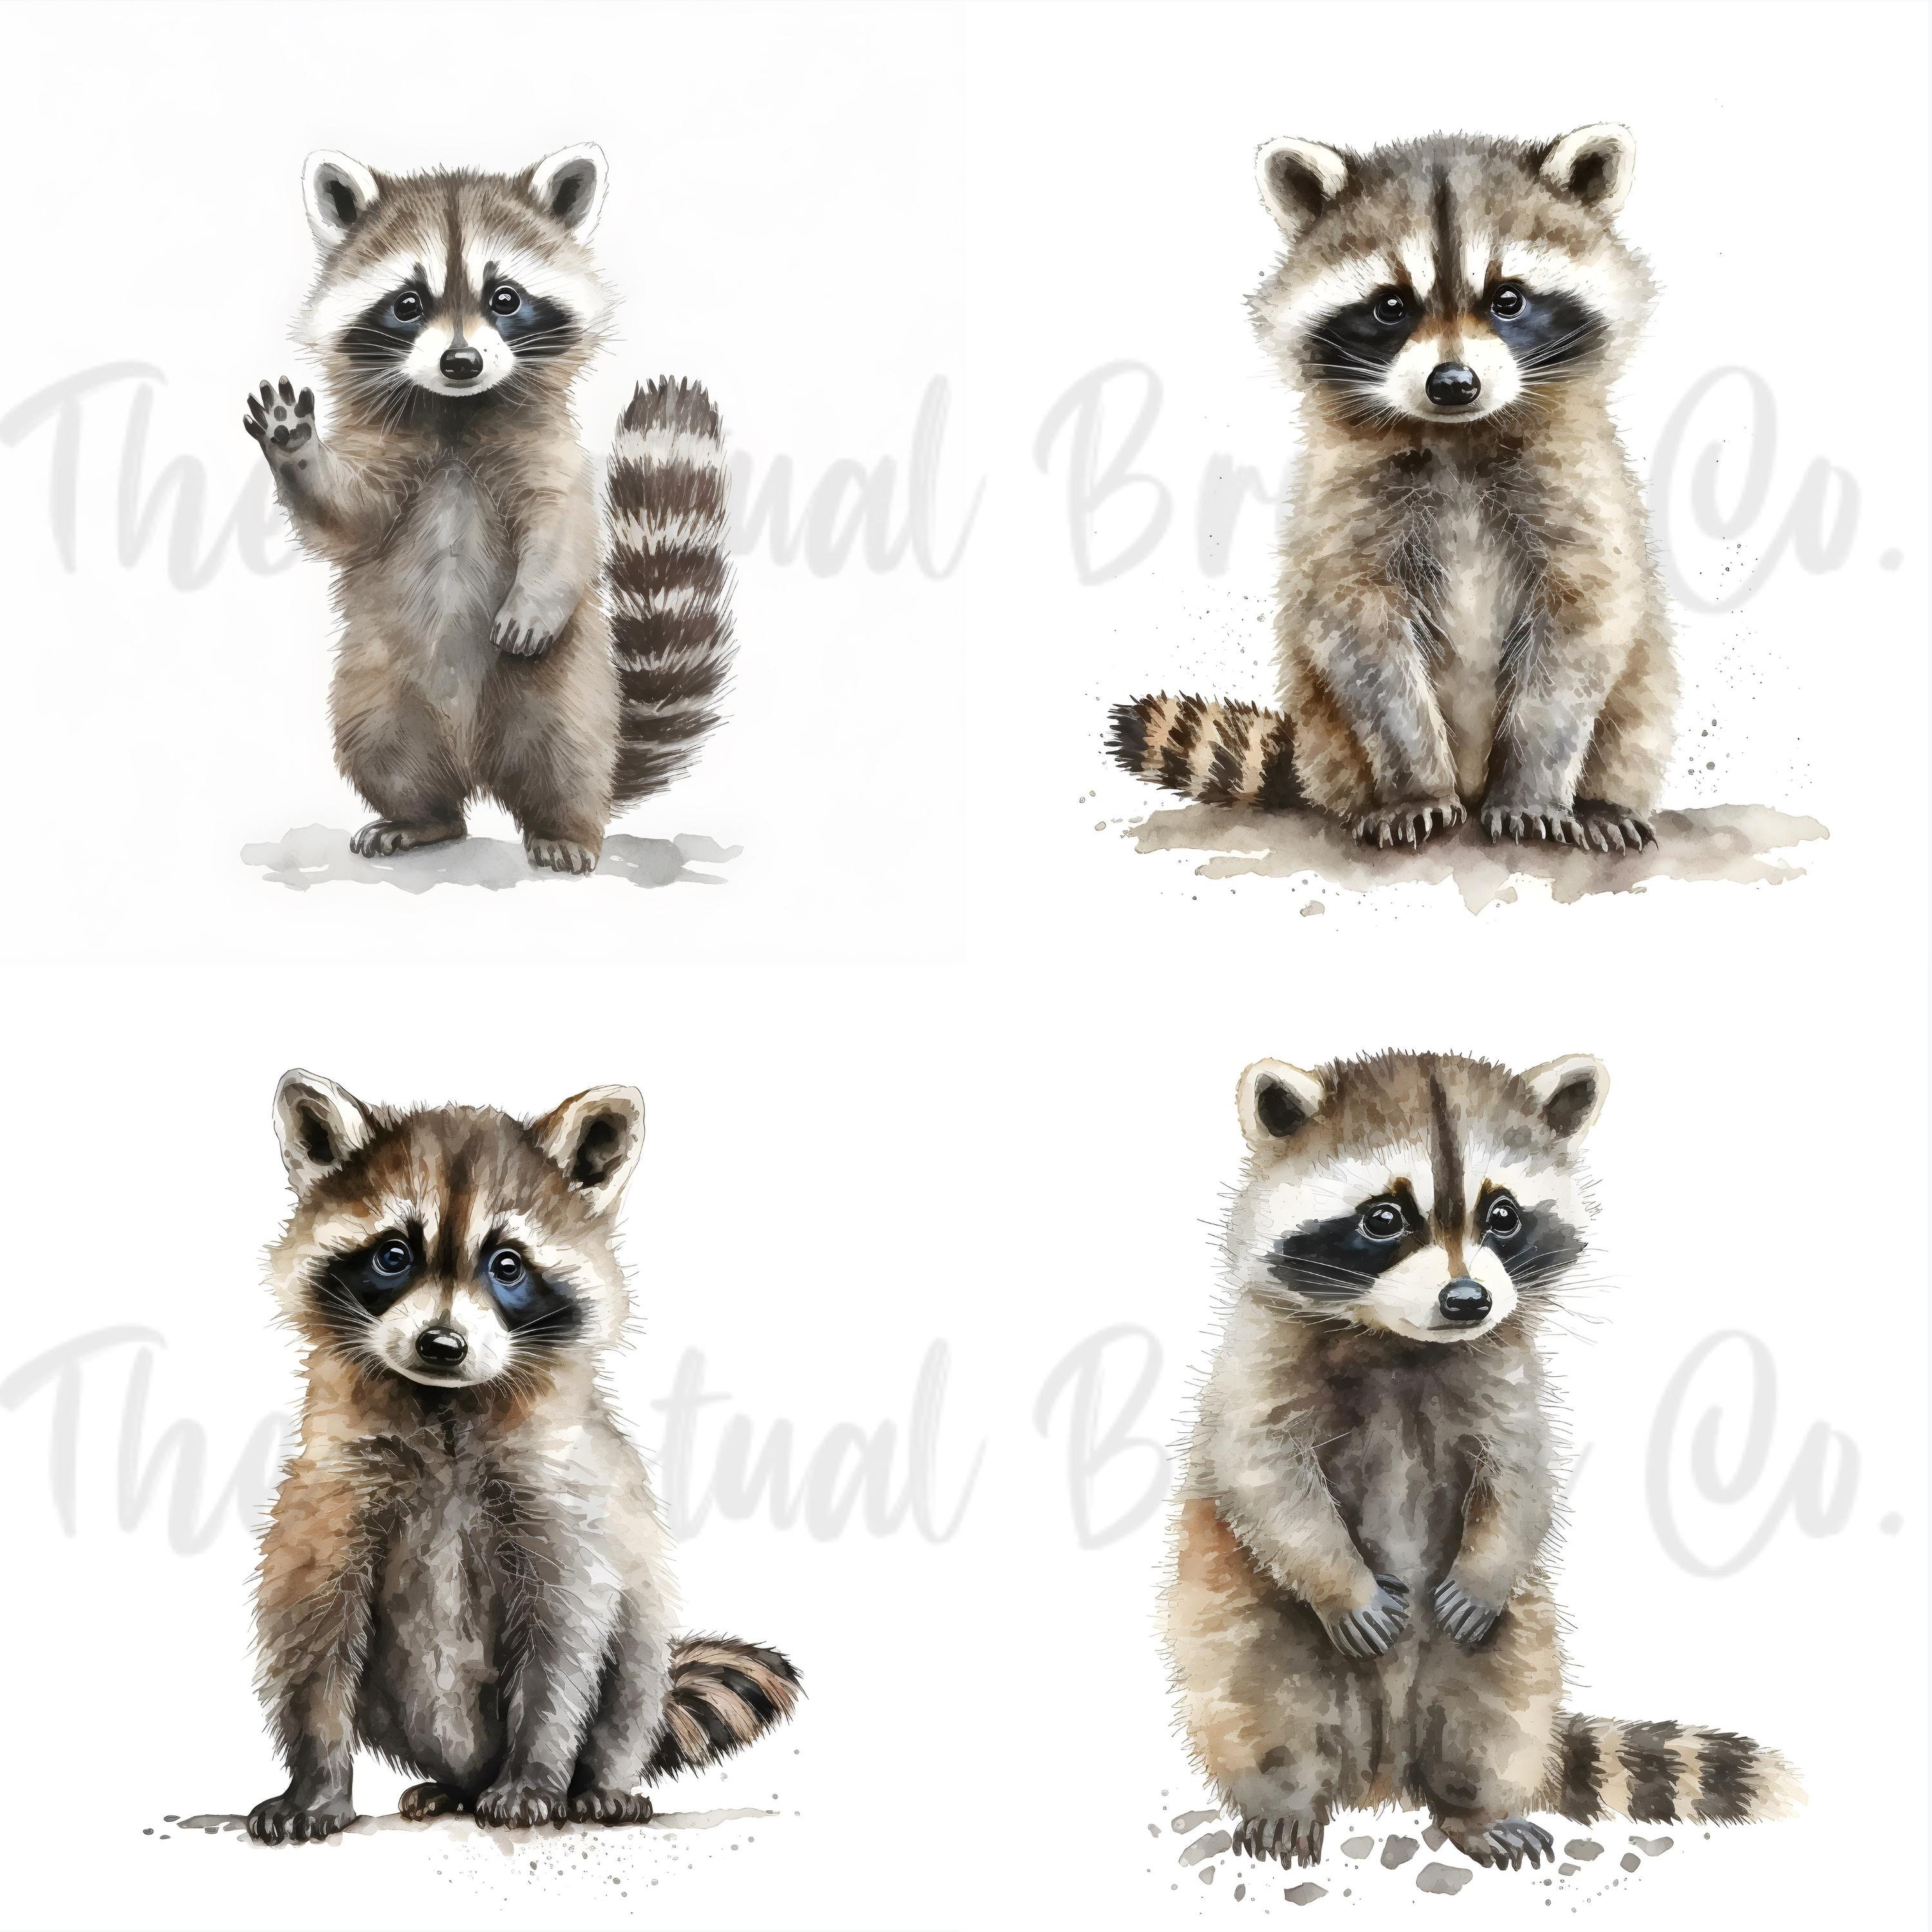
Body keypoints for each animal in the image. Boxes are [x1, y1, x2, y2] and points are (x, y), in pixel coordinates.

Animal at [245, 146, 733, 874]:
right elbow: (348, 515)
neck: (456, 411)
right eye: (408, 304)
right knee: (382, 745)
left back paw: (568, 827)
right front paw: (298, 451)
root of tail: (474, 763)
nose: (461, 360)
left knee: (566, 753)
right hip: (377, 683)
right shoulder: (385, 456)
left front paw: (534, 599)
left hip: (568, 685)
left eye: (505, 299)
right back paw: (423, 818)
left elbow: (565, 523)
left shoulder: (552, 451)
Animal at [247, 1071, 799, 1844]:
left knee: (631, 1675)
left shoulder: (567, 1500)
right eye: (393, 1255)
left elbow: (564, 1646)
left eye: (506, 1264)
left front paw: (536, 1774)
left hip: (641, 1647)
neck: (446, 1406)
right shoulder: (330, 1496)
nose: (441, 1345)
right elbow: (314, 1636)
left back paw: (596, 1783)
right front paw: (316, 1784)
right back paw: (451, 1788)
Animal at [1111, 128, 1677, 853]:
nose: (1454, 383)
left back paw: (1601, 801)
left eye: (1508, 299)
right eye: (1390, 306)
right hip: (1325, 735)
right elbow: (1365, 649)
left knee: (1635, 714)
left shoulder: (1577, 491)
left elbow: (1581, 631)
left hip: (1647, 688)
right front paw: (1416, 788)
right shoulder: (1342, 509)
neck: (1456, 435)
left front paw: (1533, 790)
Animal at [1165, 1050, 1799, 1871]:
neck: (1402, 1344)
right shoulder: (1260, 1364)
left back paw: (1473, 1810)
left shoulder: (1507, 1378)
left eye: (1503, 1216)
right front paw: (1341, 1582)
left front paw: (1487, 1568)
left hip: (1514, 1637)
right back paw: (1288, 1803)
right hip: (1249, 1616)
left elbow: (1525, 1477)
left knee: (1494, 1712)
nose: (1467, 1299)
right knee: (1267, 1705)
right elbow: (1260, 1469)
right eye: (1383, 1219)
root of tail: (1382, 1778)